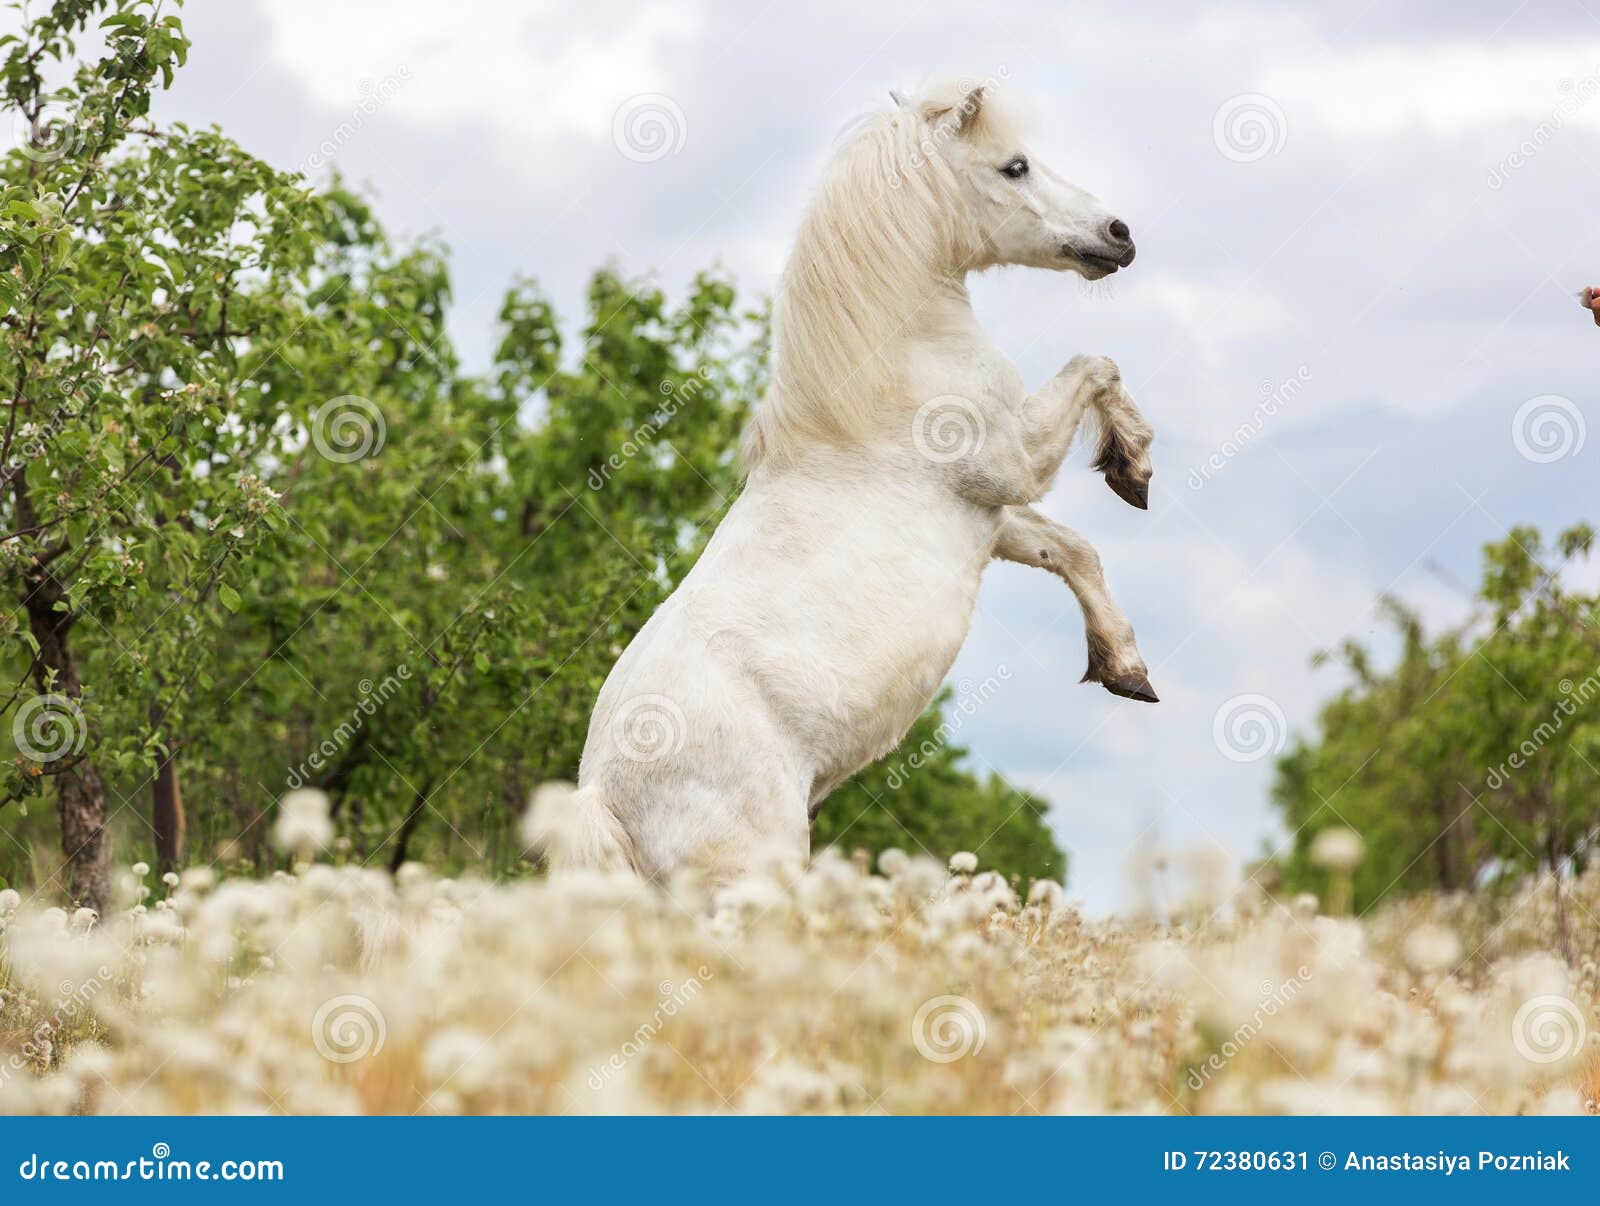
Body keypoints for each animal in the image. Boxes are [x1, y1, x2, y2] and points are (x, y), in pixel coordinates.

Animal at [531, 79, 1156, 883]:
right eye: (1014, 165)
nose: (1119, 234)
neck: (895, 376)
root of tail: (603, 798)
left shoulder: (990, 519)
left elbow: (1073, 551)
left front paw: (1127, 670)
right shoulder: (1015, 462)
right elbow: (1097, 366)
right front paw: (1133, 467)